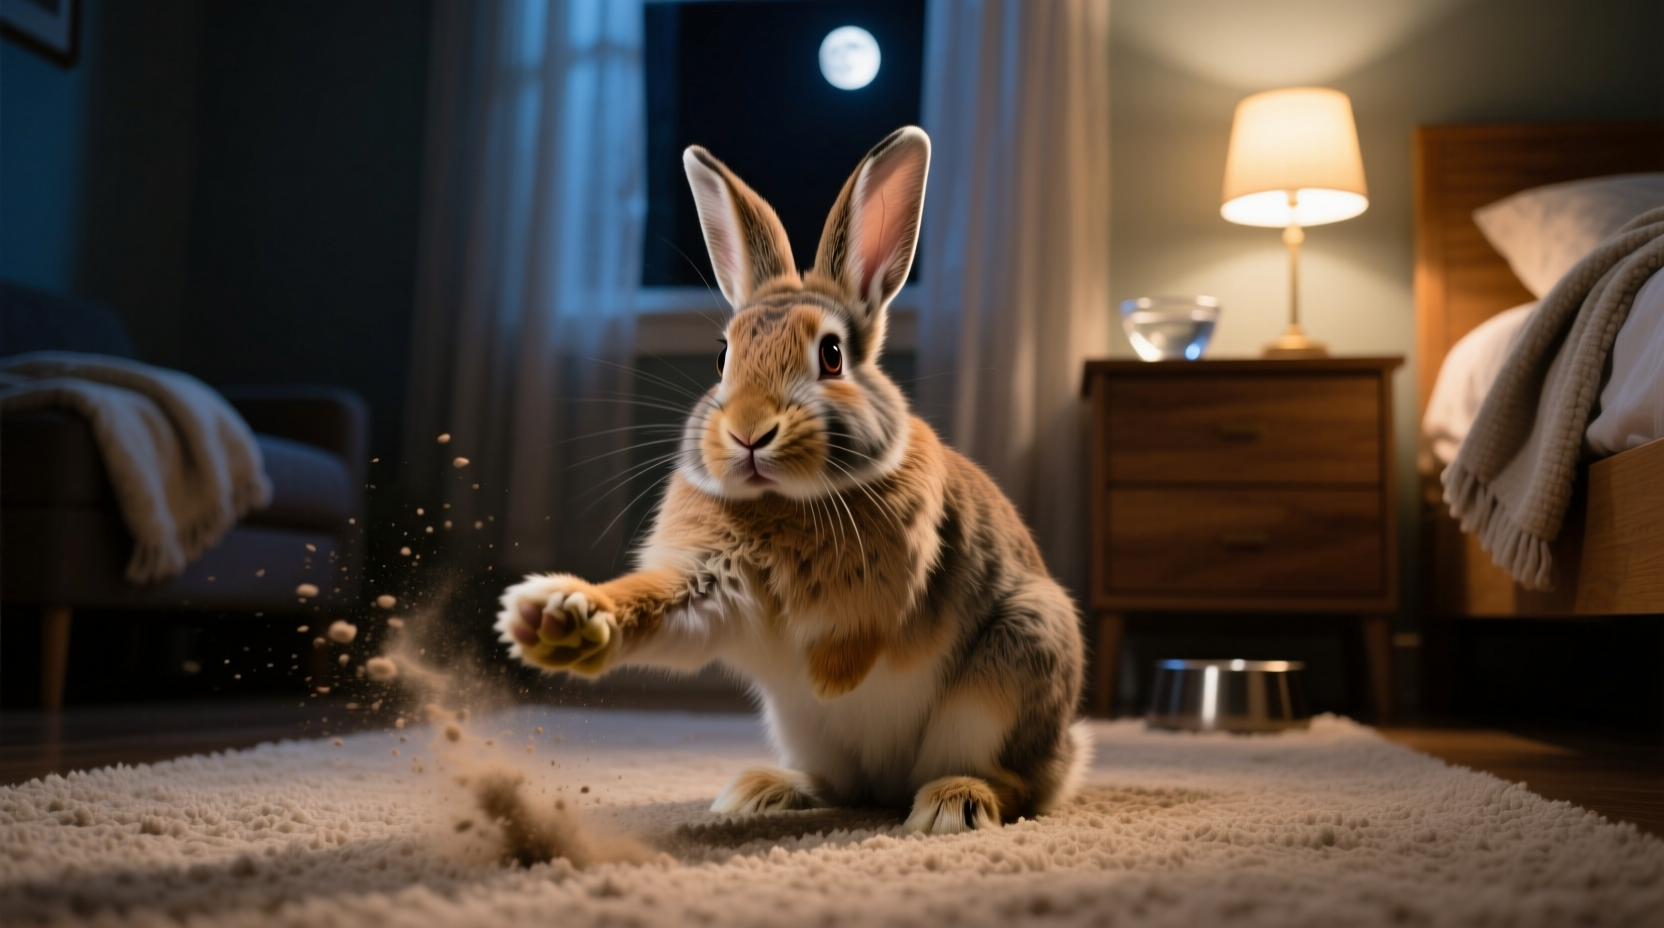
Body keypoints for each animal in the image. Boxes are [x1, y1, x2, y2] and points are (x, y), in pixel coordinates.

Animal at [496, 126, 1089, 834]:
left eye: (831, 355)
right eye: (723, 356)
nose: (749, 433)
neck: (781, 503)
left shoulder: (896, 580)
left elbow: (865, 633)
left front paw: (831, 679)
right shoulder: (708, 582)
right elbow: (656, 605)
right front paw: (559, 618)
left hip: (1018, 662)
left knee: (1017, 786)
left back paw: (954, 804)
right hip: (804, 729)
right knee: (841, 786)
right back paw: (763, 791)